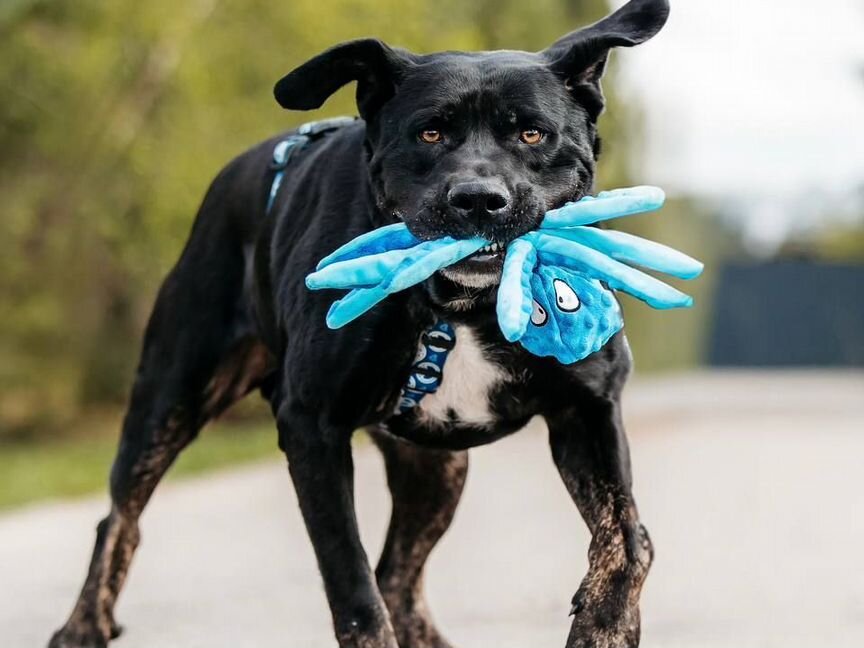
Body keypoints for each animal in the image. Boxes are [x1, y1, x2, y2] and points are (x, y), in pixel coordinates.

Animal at [50, 2, 672, 644]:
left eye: (531, 133)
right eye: (429, 132)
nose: (478, 199)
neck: (460, 305)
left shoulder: (588, 408)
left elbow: (629, 538)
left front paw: (605, 623)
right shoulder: (312, 428)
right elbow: (352, 586)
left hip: (435, 468)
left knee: (398, 573)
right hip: (170, 396)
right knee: (120, 515)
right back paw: (82, 626)